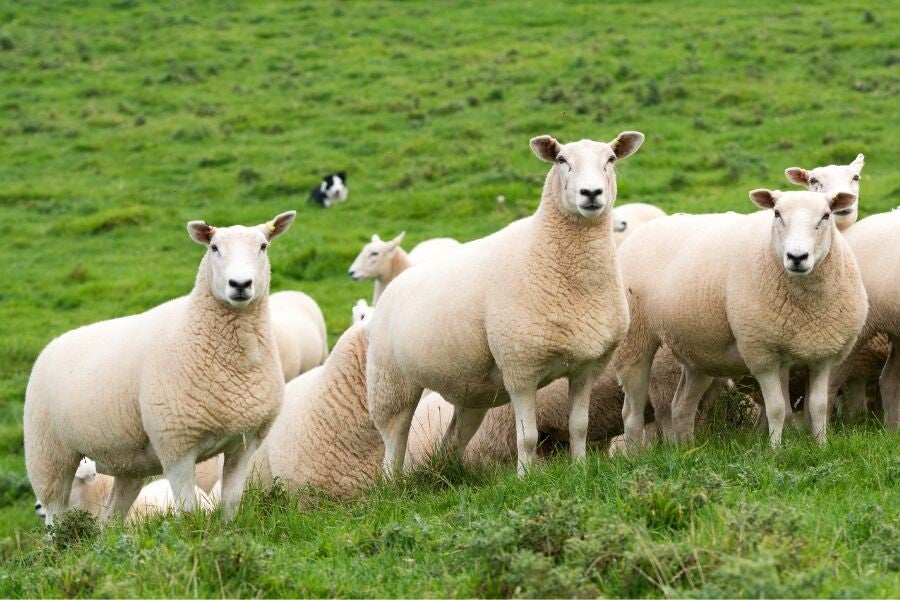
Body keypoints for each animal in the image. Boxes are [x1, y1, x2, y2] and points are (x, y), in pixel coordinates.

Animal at [25, 211, 296, 524]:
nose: (240, 284)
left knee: (110, 520)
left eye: (263, 246)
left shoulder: (245, 442)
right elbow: (188, 512)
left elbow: (231, 502)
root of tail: (53, 344)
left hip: (128, 463)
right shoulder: (176, 446)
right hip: (49, 456)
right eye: (214, 247)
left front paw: (229, 530)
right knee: (54, 518)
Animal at [367, 132, 645, 476]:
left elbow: (579, 425)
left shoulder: (587, 366)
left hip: (471, 391)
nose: (591, 193)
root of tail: (393, 287)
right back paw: (394, 483)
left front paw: (579, 468)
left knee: (452, 440)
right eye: (561, 160)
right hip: (390, 382)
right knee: (393, 442)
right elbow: (527, 436)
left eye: (610, 159)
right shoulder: (520, 368)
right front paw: (525, 478)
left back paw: (449, 474)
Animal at [615, 190, 867, 451]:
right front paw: (775, 450)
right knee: (632, 412)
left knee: (681, 405)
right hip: (635, 339)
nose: (797, 257)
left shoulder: (822, 354)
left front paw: (821, 446)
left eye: (826, 216)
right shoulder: (762, 354)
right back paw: (636, 455)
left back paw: (687, 450)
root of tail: (642, 230)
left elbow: (818, 406)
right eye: (777, 214)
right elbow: (777, 409)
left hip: (698, 352)